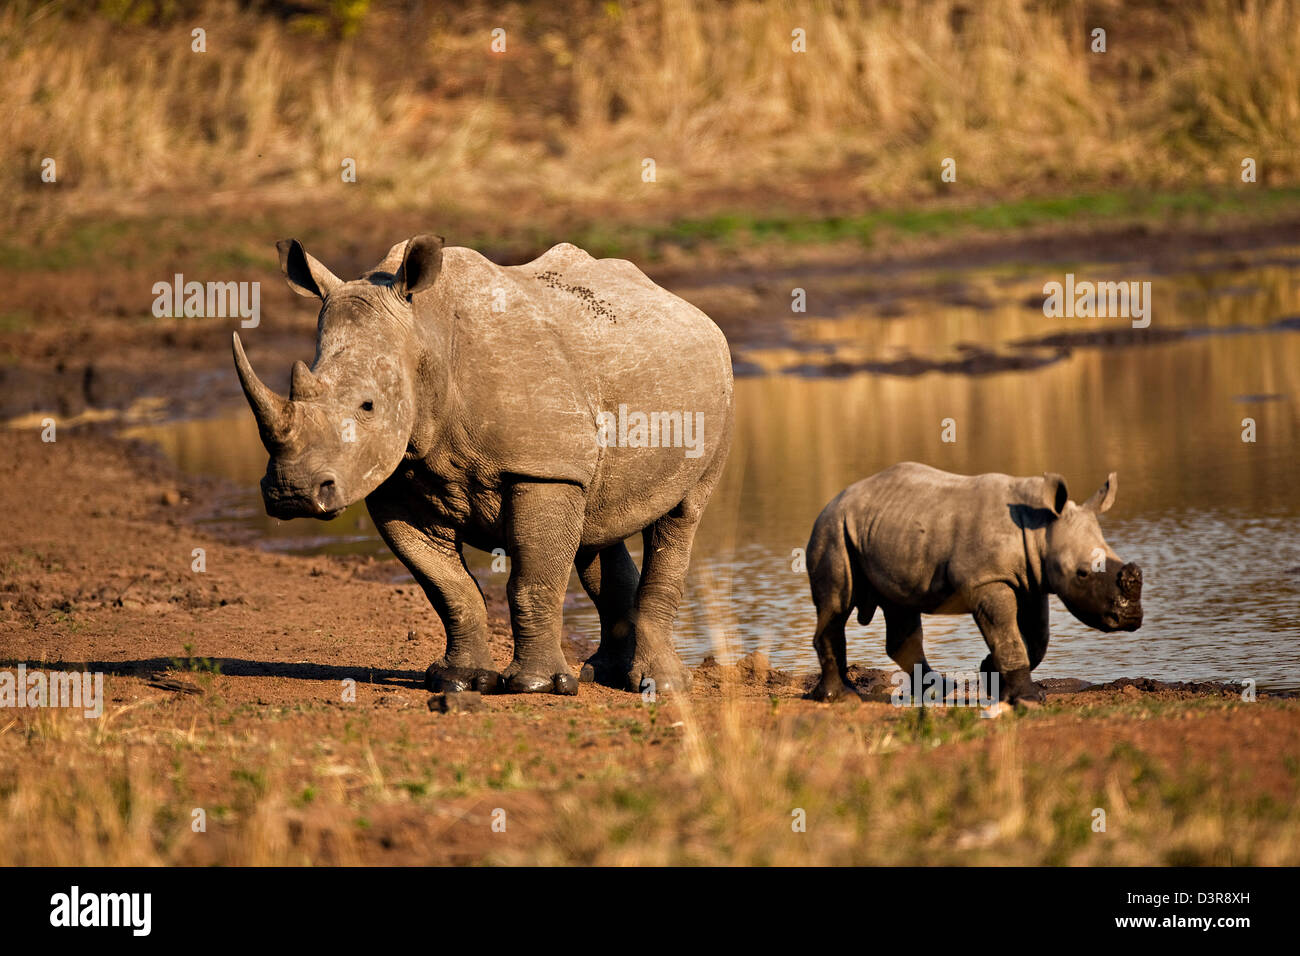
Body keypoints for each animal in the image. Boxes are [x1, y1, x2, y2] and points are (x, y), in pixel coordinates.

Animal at [232, 235, 733, 695]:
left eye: (368, 406)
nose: (292, 492)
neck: (424, 337)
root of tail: (689, 307)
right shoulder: (394, 484)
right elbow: (447, 588)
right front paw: (459, 681)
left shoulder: (541, 468)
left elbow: (532, 580)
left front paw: (538, 686)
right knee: (598, 525)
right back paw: (604, 675)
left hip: (718, 390)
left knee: (681, 516)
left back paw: (661, 685)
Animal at [805, 462, 1143, 704]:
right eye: (1082, 574)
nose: (1131, 617)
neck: (1039, 530)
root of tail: (832, 500)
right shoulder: (987, 580)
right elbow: (1008, 634)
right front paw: (1027, 699)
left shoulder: (1032, 582)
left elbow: (1036, 639)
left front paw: (992, 672)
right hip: (833, 529)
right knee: (836, 603)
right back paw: (841, 698)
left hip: (887, 532)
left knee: (900, 607)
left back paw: (937, 690)